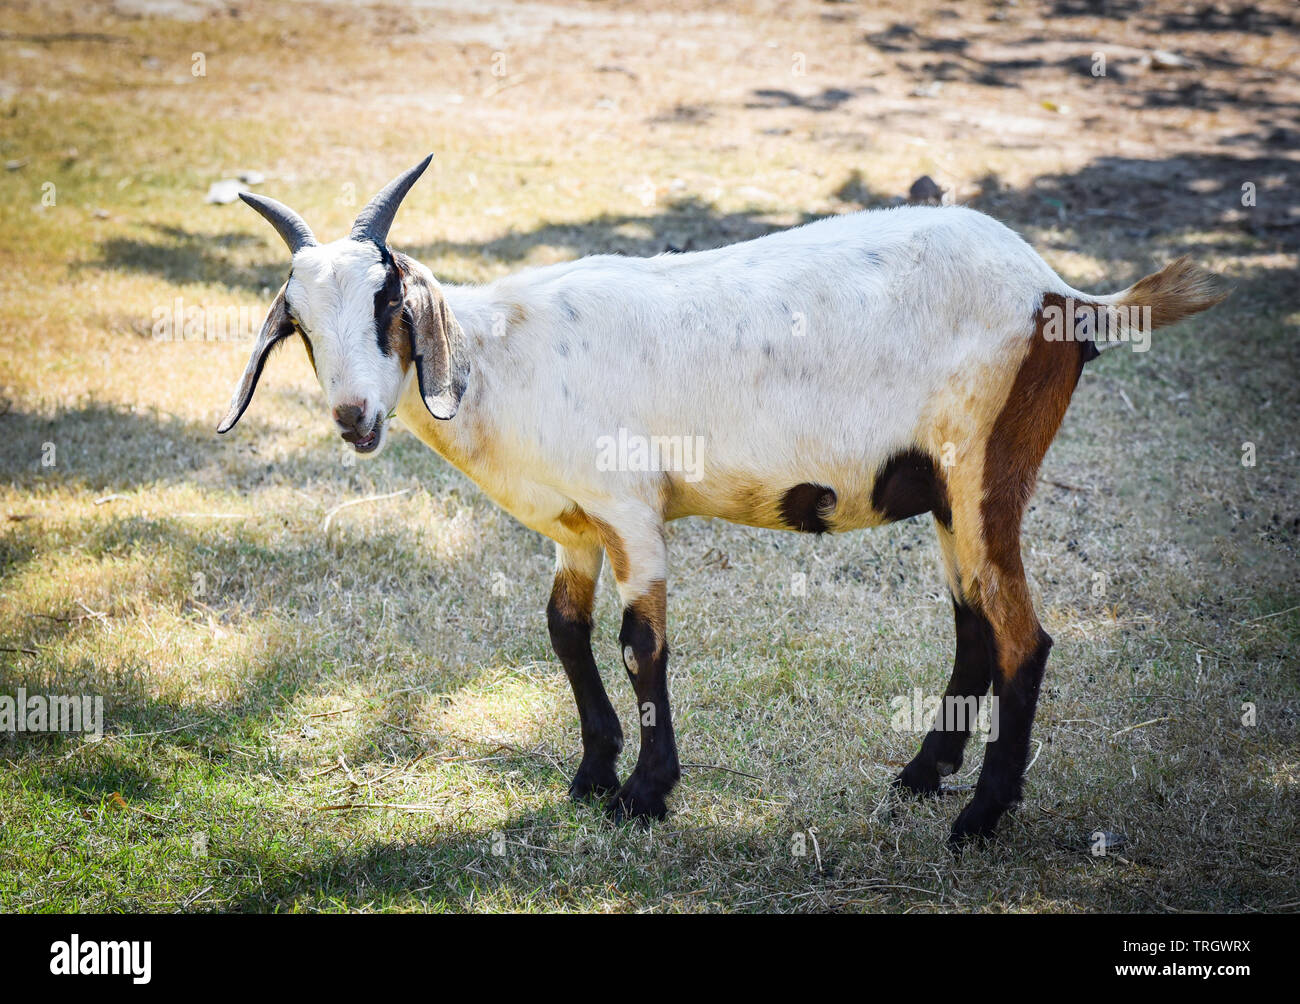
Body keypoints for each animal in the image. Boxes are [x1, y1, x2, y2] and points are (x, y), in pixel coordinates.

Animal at [219, 155, 1227, 845]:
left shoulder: (630, 512)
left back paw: (978, 817)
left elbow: (640, 645)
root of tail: (1064, 294)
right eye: (298, 325)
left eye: (388, 302)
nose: (354, 418)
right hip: (949, 494)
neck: (505, 354)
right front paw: (591, 774)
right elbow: (564, 631)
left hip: (988, 470)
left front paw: (645, 795)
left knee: (1024, 637)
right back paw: (920, 774)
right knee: (975, 624)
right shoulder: (575, 527)